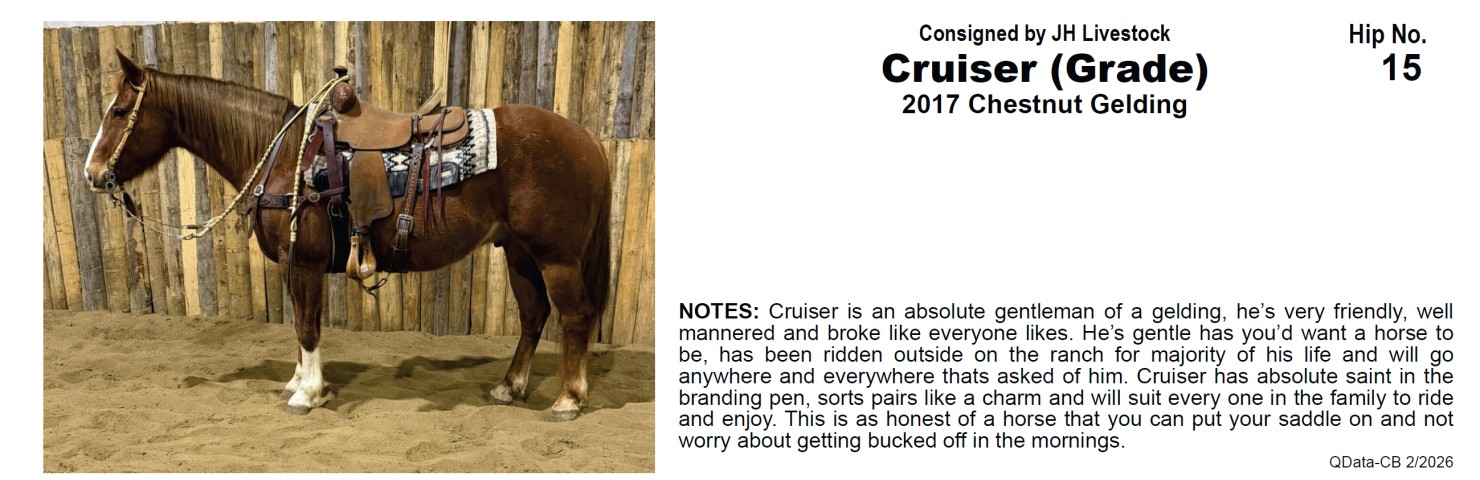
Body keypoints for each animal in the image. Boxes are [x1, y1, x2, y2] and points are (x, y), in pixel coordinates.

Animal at [81, 51, 612, 421]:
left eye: (120, 110)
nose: (92, 173)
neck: (284, 153)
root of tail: (586, 140)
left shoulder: (306, 262)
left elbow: (307, 326)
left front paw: (308, 394)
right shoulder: (294, 263)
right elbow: (300, 325)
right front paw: (298, 381)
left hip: (556, 256)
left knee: (575, 316)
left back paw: (568, 399)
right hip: (519, 252)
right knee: (533, 315)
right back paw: (510, 385)